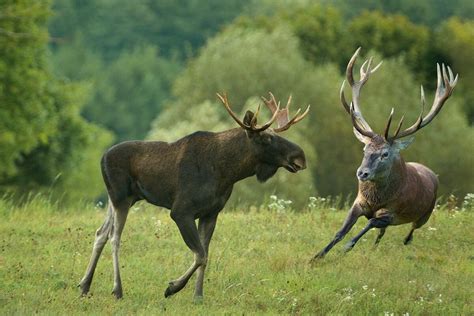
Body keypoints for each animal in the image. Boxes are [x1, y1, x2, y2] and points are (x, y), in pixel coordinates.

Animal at [312, 47, 458, 260]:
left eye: (385, 154)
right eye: (365, 149)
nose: (362, 173)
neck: (376, 200)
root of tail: (432, 173)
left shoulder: (392, 213)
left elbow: (370, 222)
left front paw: (347, 246)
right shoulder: (359, 203)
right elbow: (341, 230)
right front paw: (317, 256)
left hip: (425, 213)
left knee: (411, 230)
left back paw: (405, 241)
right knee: (381, 234)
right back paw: (374, 247)